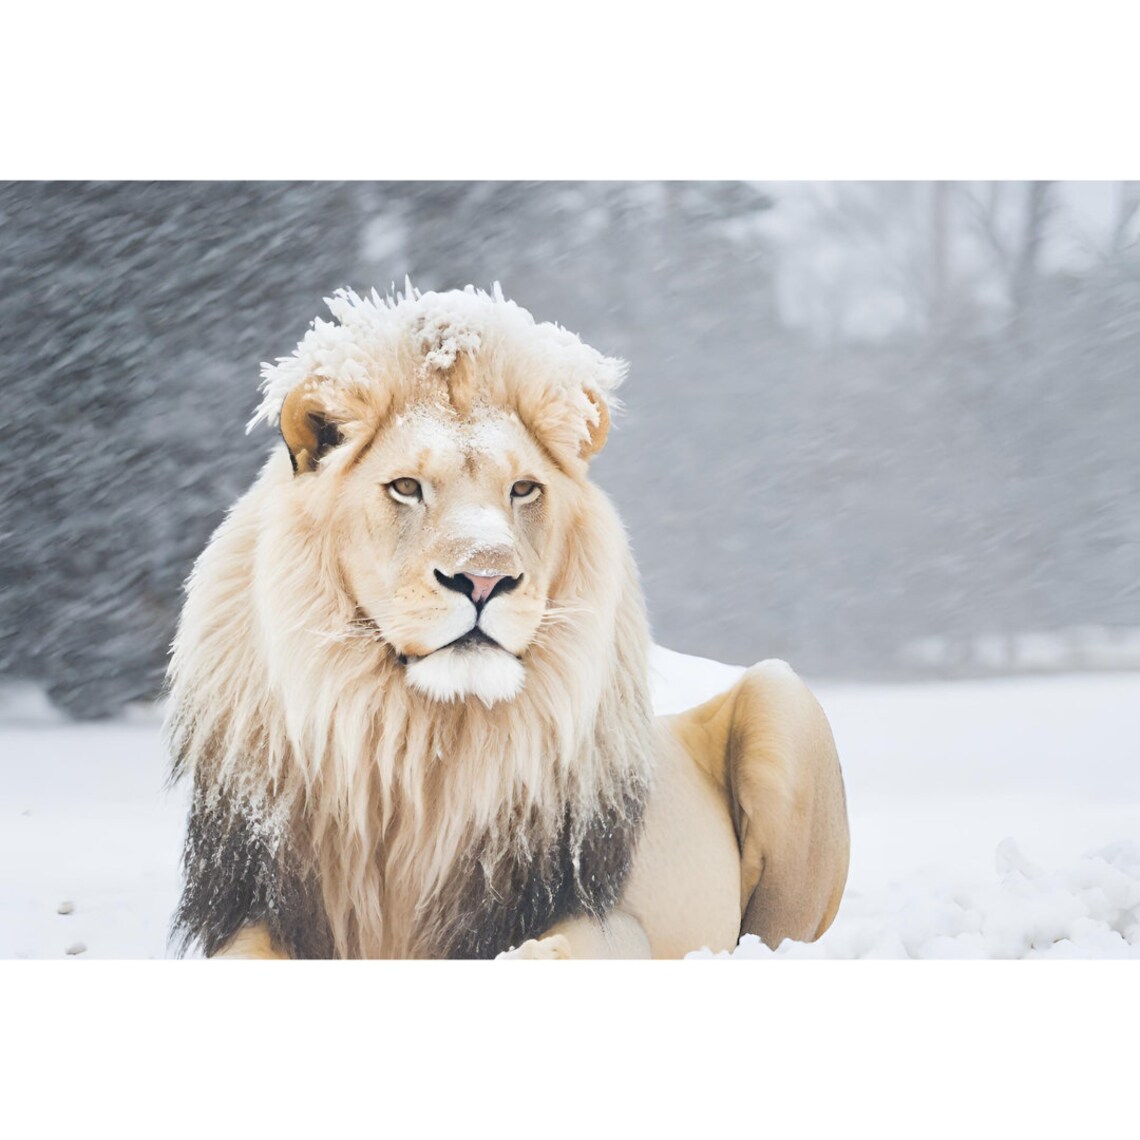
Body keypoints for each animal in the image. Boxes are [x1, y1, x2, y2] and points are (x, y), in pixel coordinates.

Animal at [166, 283, 849, 959]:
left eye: (524, 489)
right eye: (406, 487)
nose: (484, 579)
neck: (422, 753)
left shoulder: (601, 912)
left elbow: (551, 952)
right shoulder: (258, 906)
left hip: (783, 698)